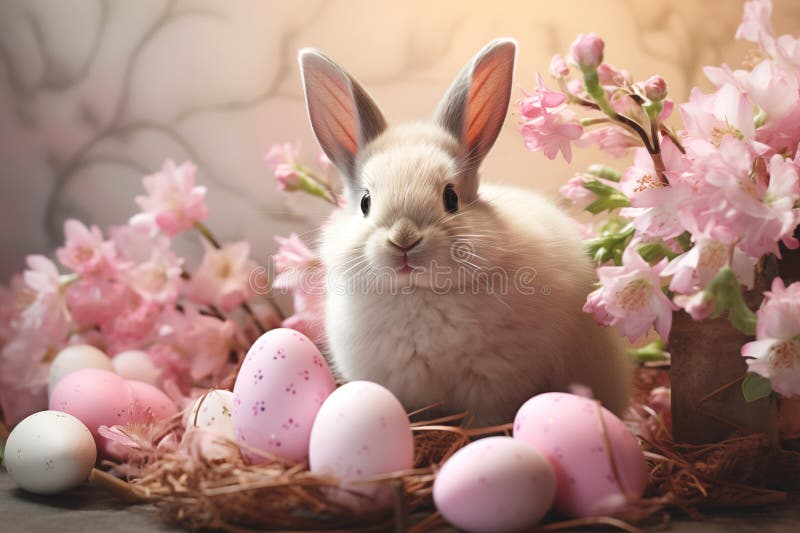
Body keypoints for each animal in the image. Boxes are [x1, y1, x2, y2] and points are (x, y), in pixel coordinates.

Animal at [297, 38, 632, 426]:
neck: (419, 291)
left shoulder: (494, 381)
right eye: (365, 202)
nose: (404, 240)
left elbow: (486, 422)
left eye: (451, 198)